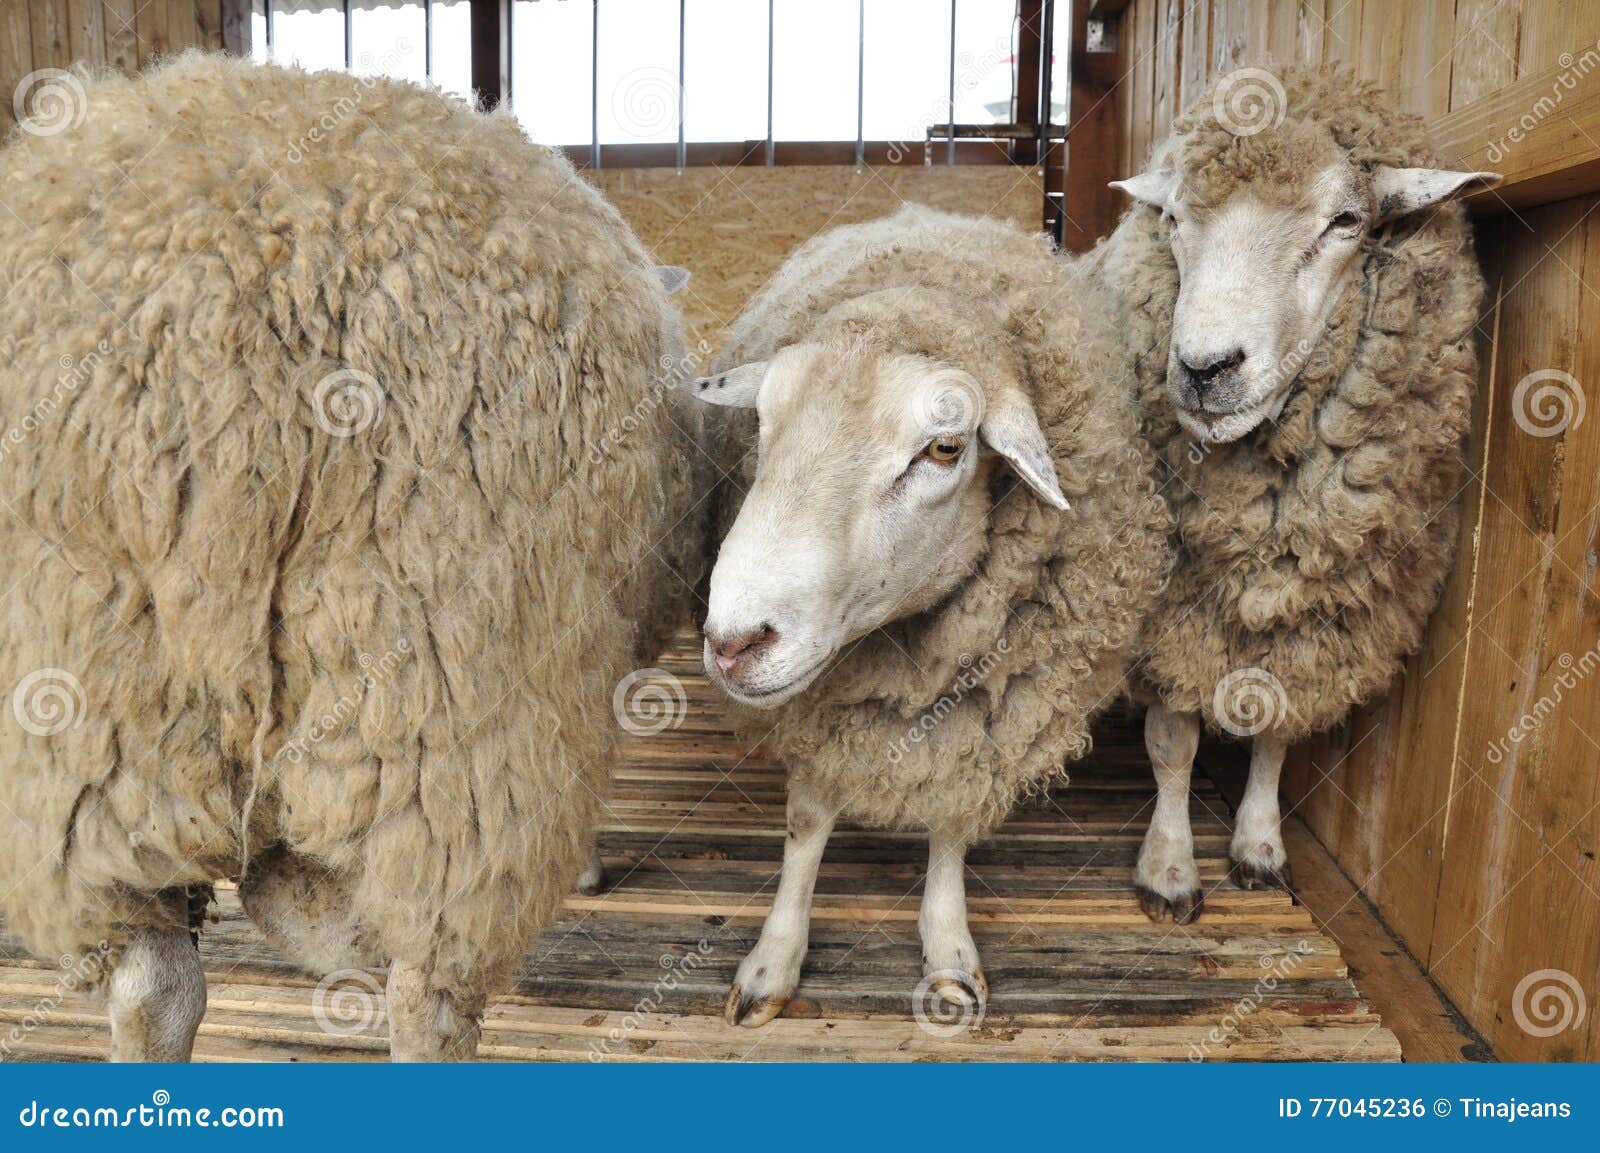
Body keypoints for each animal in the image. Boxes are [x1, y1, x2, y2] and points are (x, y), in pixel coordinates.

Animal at [690, 204, 1172, 1025]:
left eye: (946, 448)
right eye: (760, 421)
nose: (734, 642)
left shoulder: (984, 715)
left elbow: (951, 819)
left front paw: (947, 950)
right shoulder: (820, 711)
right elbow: (807, 823)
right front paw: (773, 960)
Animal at [1089, 65, 1498, 922]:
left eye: (1345, 221)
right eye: (1172, 217)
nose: (1204, 368)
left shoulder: (1315, 612)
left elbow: (1278, 728)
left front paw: (1259, 846)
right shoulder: (1175, 611)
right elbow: (1173, 742)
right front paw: (1169, 868)